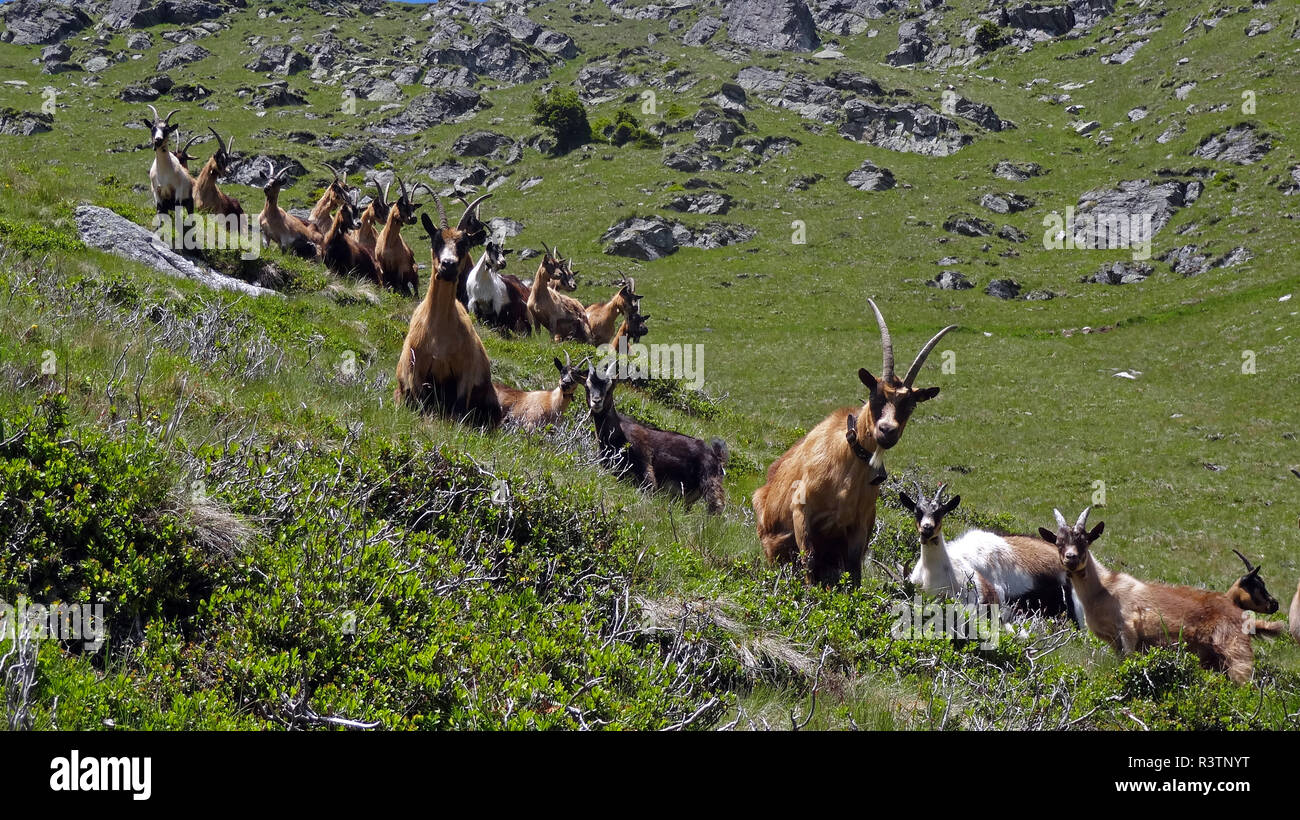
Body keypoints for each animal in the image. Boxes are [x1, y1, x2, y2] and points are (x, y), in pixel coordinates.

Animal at [393, 195, 501, 428]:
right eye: (436, 240)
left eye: (464, 244)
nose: (448, 265)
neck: (439, 334)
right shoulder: (416, 373)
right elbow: (421, 404)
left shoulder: (466, 374)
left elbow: (459, 409)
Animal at [584, 359, 728, 513]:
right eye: (587, 386)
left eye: (609, 387)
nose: (596, 401)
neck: (618, 432)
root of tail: (715, 456)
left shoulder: (645, 465)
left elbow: (650, 486)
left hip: (710, 482)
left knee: (716, 507)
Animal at [754, 300, 955, 587]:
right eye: (875, 395)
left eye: (911, 405)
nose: (887, 431)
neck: (847, 469)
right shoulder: (801, 511)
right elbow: (808, 562)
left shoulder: (860, 526)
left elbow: (854, 572)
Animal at [1041, 507, 1284, 684]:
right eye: (1058, 542)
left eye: (1085, 540)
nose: (1071, 558)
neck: (1104, 588)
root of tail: (1241, 614)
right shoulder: (1114, 642)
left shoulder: (1128, 632)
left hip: (1235, 649)